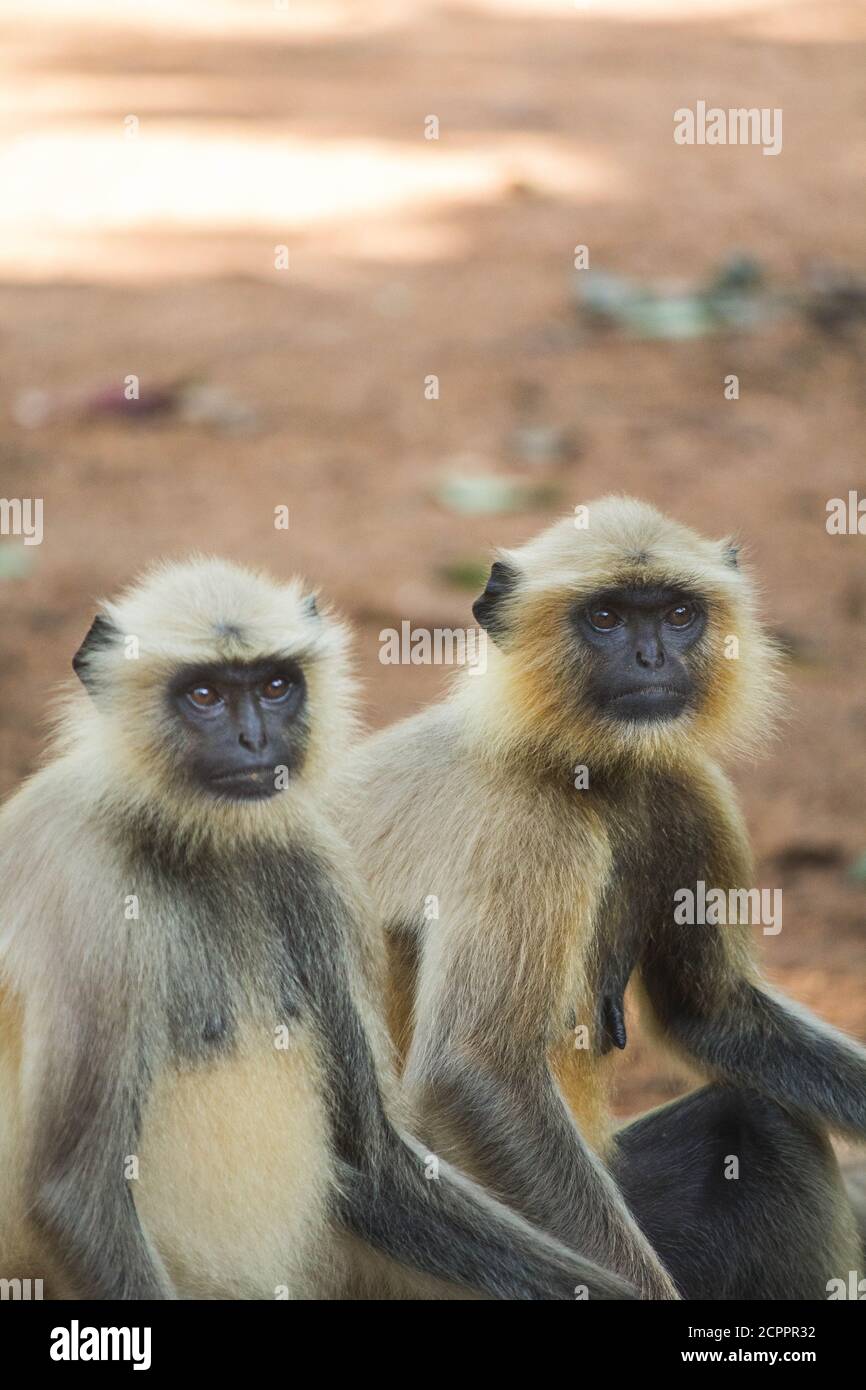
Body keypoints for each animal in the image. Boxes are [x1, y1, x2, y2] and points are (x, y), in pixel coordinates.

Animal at [0, 556, 635, 1301]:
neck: (196, 843)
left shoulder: (313, 869)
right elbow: (75, 1197)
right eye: (204, 694)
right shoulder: (86, 881)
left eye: (275, 686)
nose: (254, 739)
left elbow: (373, 1161)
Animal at [332, 496, 865, 1300]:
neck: (584, 765)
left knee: (758, 1124)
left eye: (678, 614)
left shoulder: (689, 785)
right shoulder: (524, 819)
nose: (651, 659)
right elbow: (476, 1073)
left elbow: (710, 1015)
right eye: (607, 618)